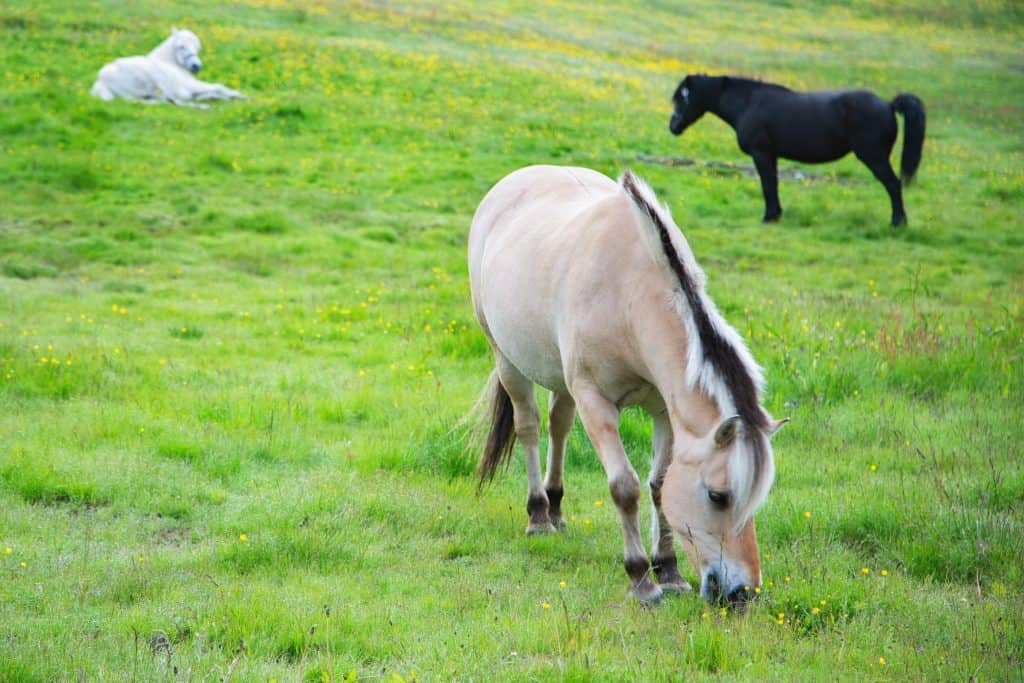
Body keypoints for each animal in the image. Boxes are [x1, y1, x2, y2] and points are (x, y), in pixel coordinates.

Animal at [91, 28, 247, 109]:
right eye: (181, 46)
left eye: (198, 47)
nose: (196, 66)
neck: (170, 63)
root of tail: (100, 80)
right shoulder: (189, 85)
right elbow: (218, 87)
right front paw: (241, 96)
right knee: (171, 100)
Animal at [468, 165, 786, 606]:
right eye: (718, 496)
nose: (743, 592)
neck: (628, 296)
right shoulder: (595, 401)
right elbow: (625, 486)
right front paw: (641, 578)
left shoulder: (664, 410)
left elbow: (658, 485)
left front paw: (668, 570)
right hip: (508, 360)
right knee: (529, 426)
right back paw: (538, 516)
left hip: (560, 379)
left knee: (558, 425)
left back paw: (556, 508)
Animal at [669, 74, 926, 226]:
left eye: (682, 99)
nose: (673, 126)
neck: (749, 104)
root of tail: (888, 104)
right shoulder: (771, 156)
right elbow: (773, 184)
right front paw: (776, 214)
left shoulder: (762, 154)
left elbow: (767, 185)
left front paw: (769, 217)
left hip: (874, 158)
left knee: (893, 185)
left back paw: (897, 222)